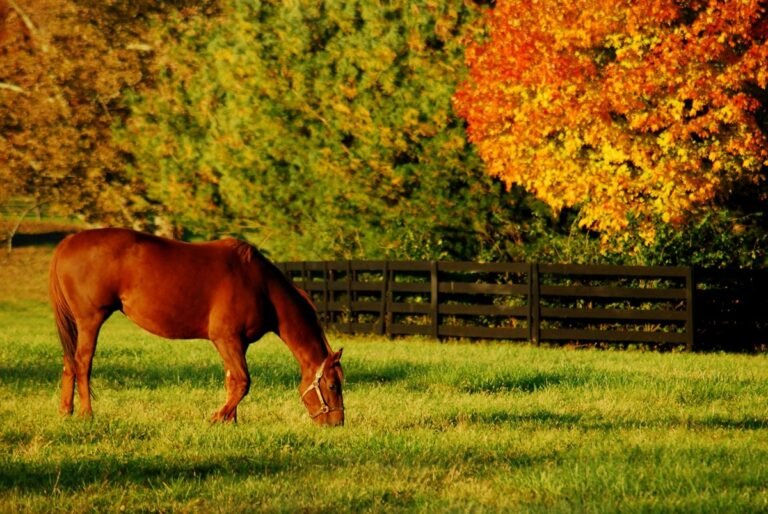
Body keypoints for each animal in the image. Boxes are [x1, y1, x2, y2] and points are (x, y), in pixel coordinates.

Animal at [48, 228, 344, 426]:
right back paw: (87, 413)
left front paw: (230, 421)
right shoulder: (226, 339)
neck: (260, 285)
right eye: (333, 386)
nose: (337, 423)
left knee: (69, 362)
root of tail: (68, 242)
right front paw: (217, 417)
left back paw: (66, 411)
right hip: (90, 320)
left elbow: (232, 381)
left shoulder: (237, 344)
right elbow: (243, 382)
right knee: (82, 363)